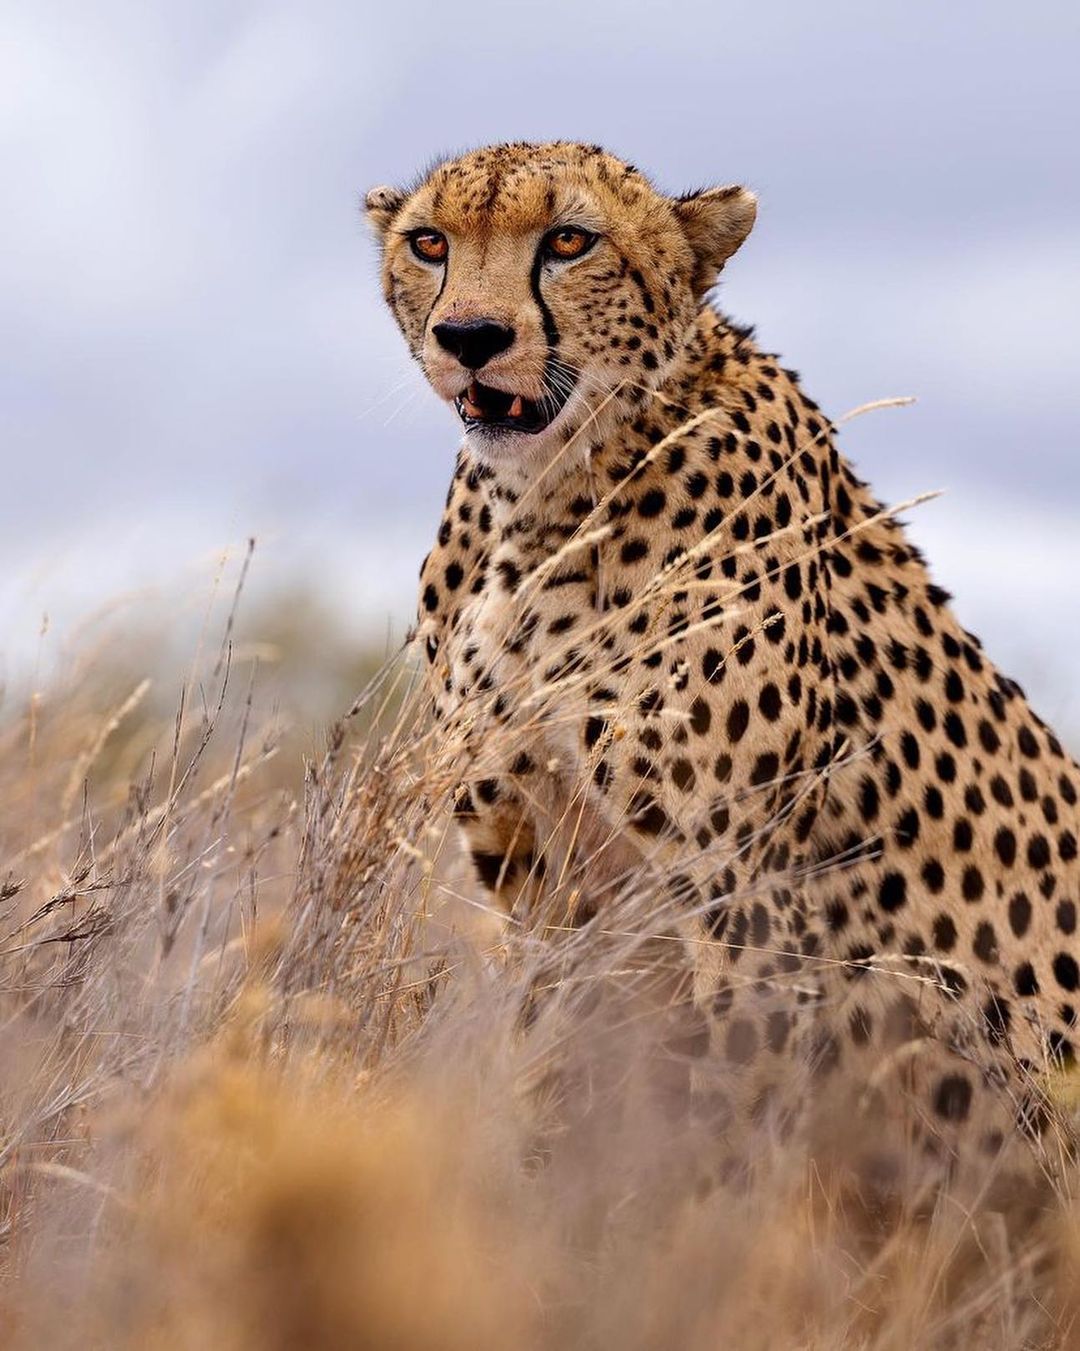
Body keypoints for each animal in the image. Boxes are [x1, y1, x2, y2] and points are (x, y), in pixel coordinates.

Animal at [365, 141, 1080, 1183]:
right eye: (429, 243)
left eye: (569, 241)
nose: (469, 335)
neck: (543, 500)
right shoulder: (545, 884)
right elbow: (561, 1079)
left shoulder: (739, 892)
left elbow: (722, 1110)